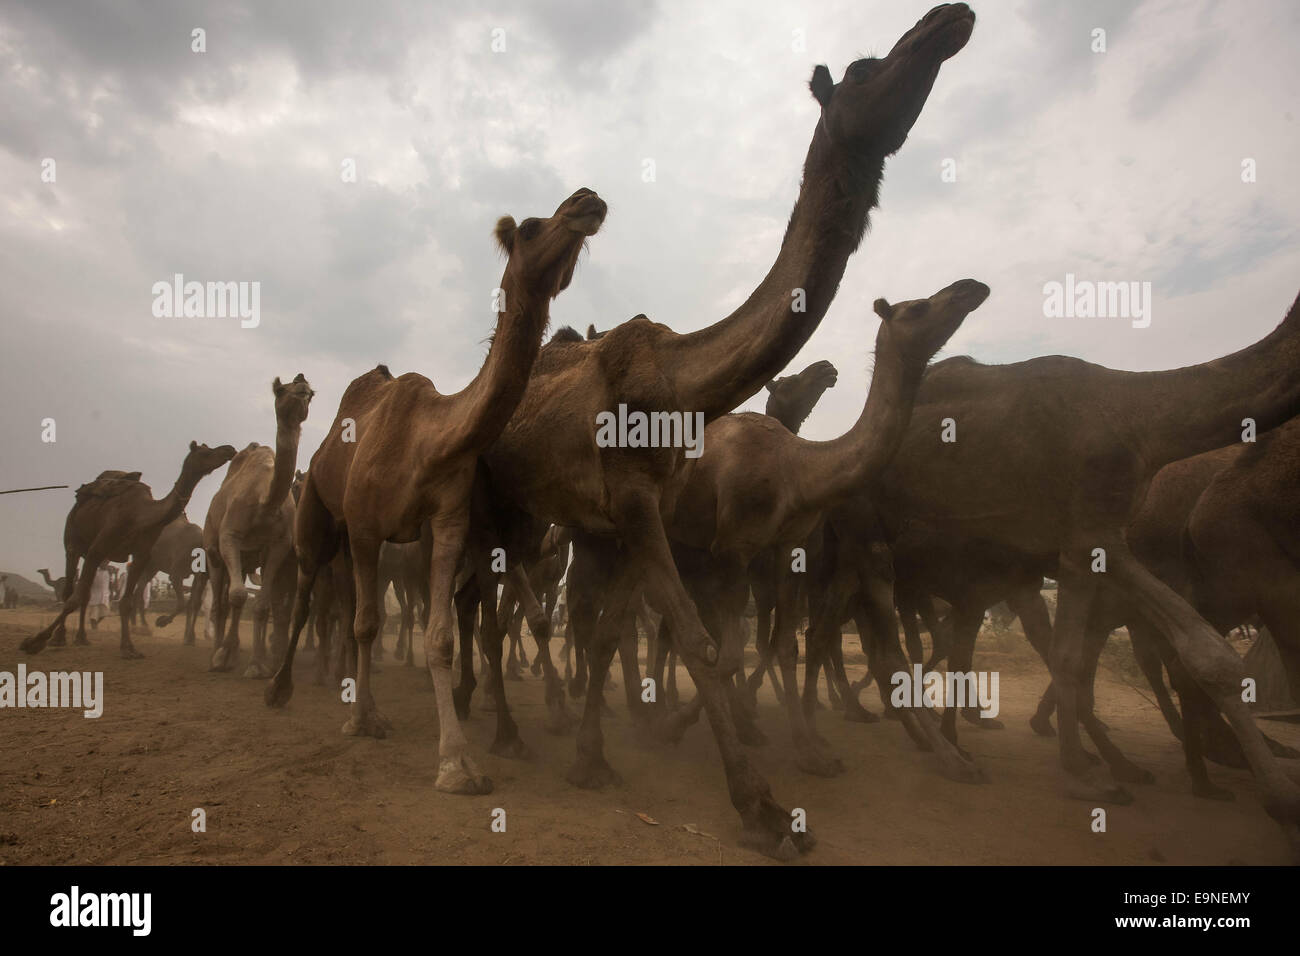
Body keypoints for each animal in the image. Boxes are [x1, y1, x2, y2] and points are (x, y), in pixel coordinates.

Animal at [20, 443, 238, 658]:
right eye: (205, 451)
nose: (229, 449)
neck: (141, 516)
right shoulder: (100, 549)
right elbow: (76, 597)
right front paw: (33, 641)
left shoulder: (141, 555)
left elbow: (127, 602)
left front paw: (128, 647)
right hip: (73, 543)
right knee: (69, 591)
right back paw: (60, 637)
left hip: (136, 563)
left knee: (113, 594)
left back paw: (83, 637)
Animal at [207, 374, 314, 678]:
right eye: (280, 389)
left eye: (311, 393)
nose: (301, 382)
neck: (264, 502)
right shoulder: (229, 536)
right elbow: (237, 596)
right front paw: (222, 656)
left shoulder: (277, 546)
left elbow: (261, 606)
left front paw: (256, 665)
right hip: (212, 552)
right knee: (220, 602)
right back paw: (218, 653)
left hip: (247, 560)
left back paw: (232, 651)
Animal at [264, 187, 608, 797]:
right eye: (530, 226)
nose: (586, 199)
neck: (429, 439)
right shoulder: (366, 525)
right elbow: (367, 622)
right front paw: (364, 720)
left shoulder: (448, 517)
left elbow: (441, 636)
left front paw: (457, 763)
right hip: (321, 516)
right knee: (307, 591)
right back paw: (280, 687)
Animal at [472, 4, 975, 859]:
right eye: (864, 69)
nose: (948, 21)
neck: (681, 385)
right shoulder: (644, 510)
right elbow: (702, 641)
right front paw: (765, 810)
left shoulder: (625, 519)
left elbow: (624, 636)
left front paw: (596, 762)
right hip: (504, 504)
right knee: (485, 607)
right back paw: (499, 729)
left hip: (574, 530)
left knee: (560, 620)